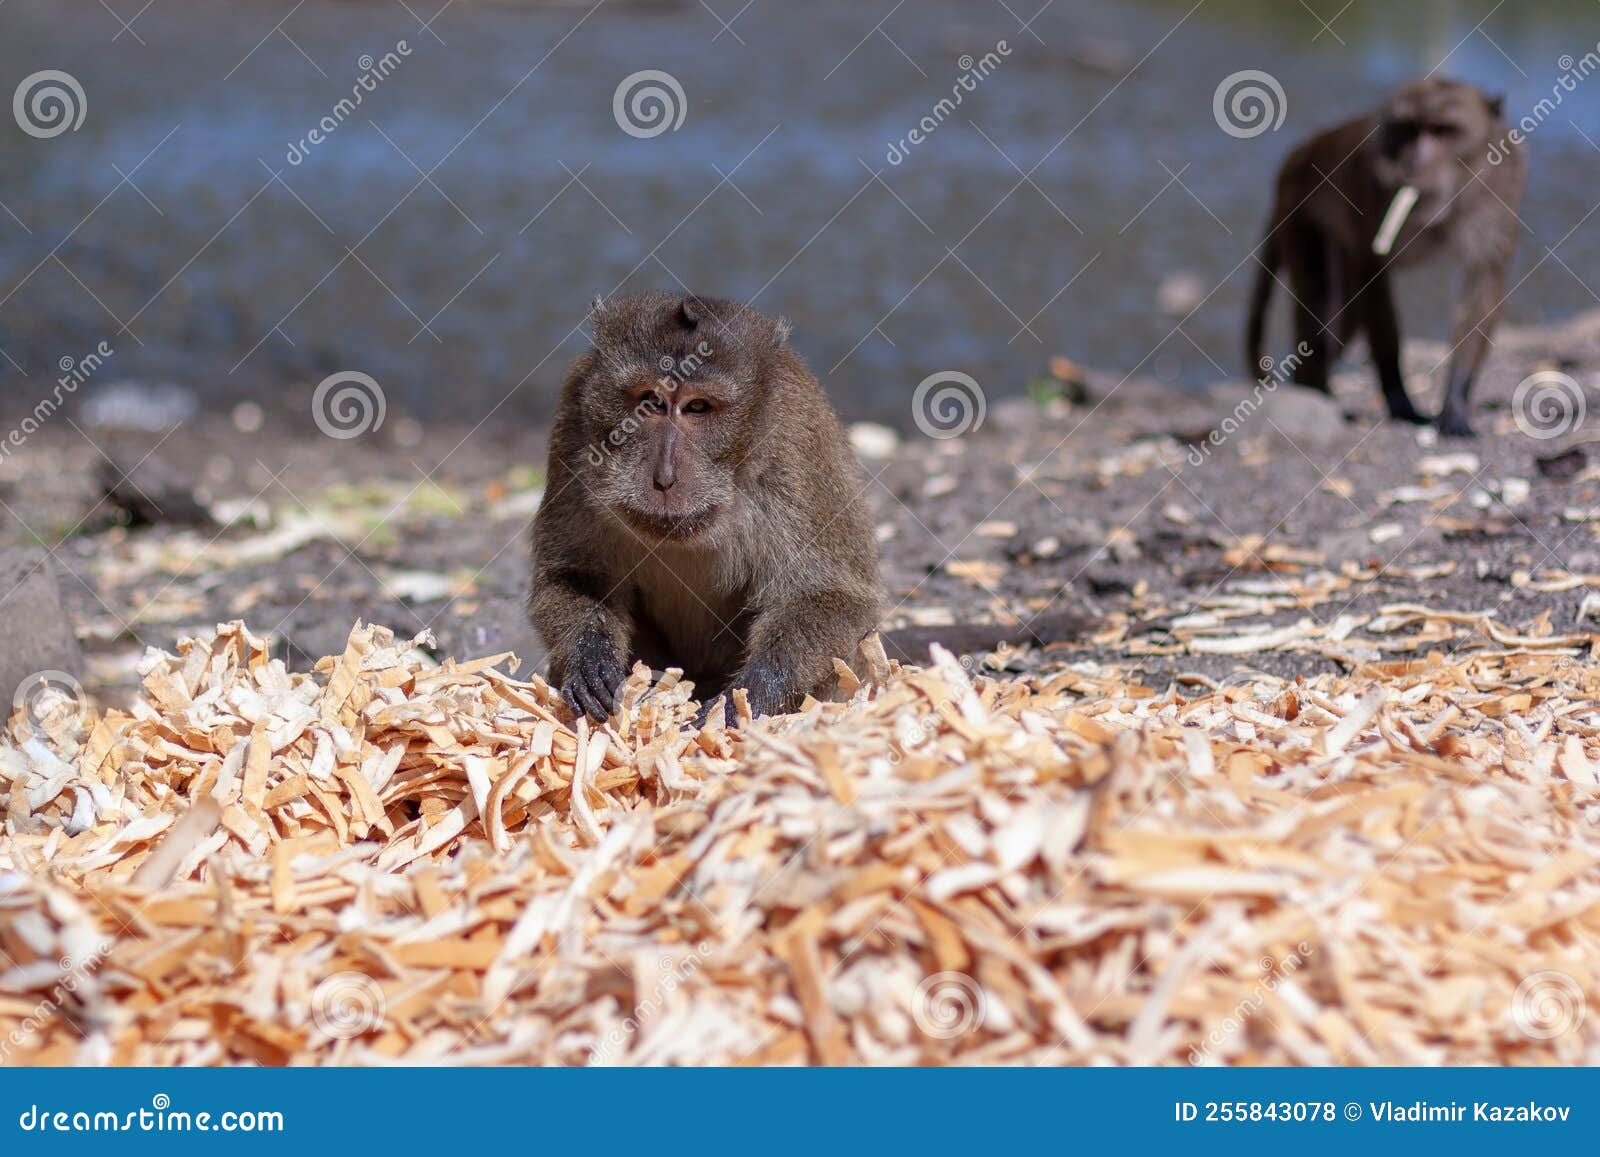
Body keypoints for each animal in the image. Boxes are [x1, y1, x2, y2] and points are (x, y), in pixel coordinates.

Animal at [1246, 77, 1524, 437]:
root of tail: (1298, 154)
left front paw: (1455, 403)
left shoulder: (1501, 185)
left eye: (1442, 130)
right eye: (1407, 130)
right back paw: (1315, 389)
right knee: (1319, 298)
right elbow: (1373, 275)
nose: (1413, 163)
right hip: (1298, 214)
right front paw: (1398, 398)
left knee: (1344, 318)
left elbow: (1484, 279)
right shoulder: (1371, 182)